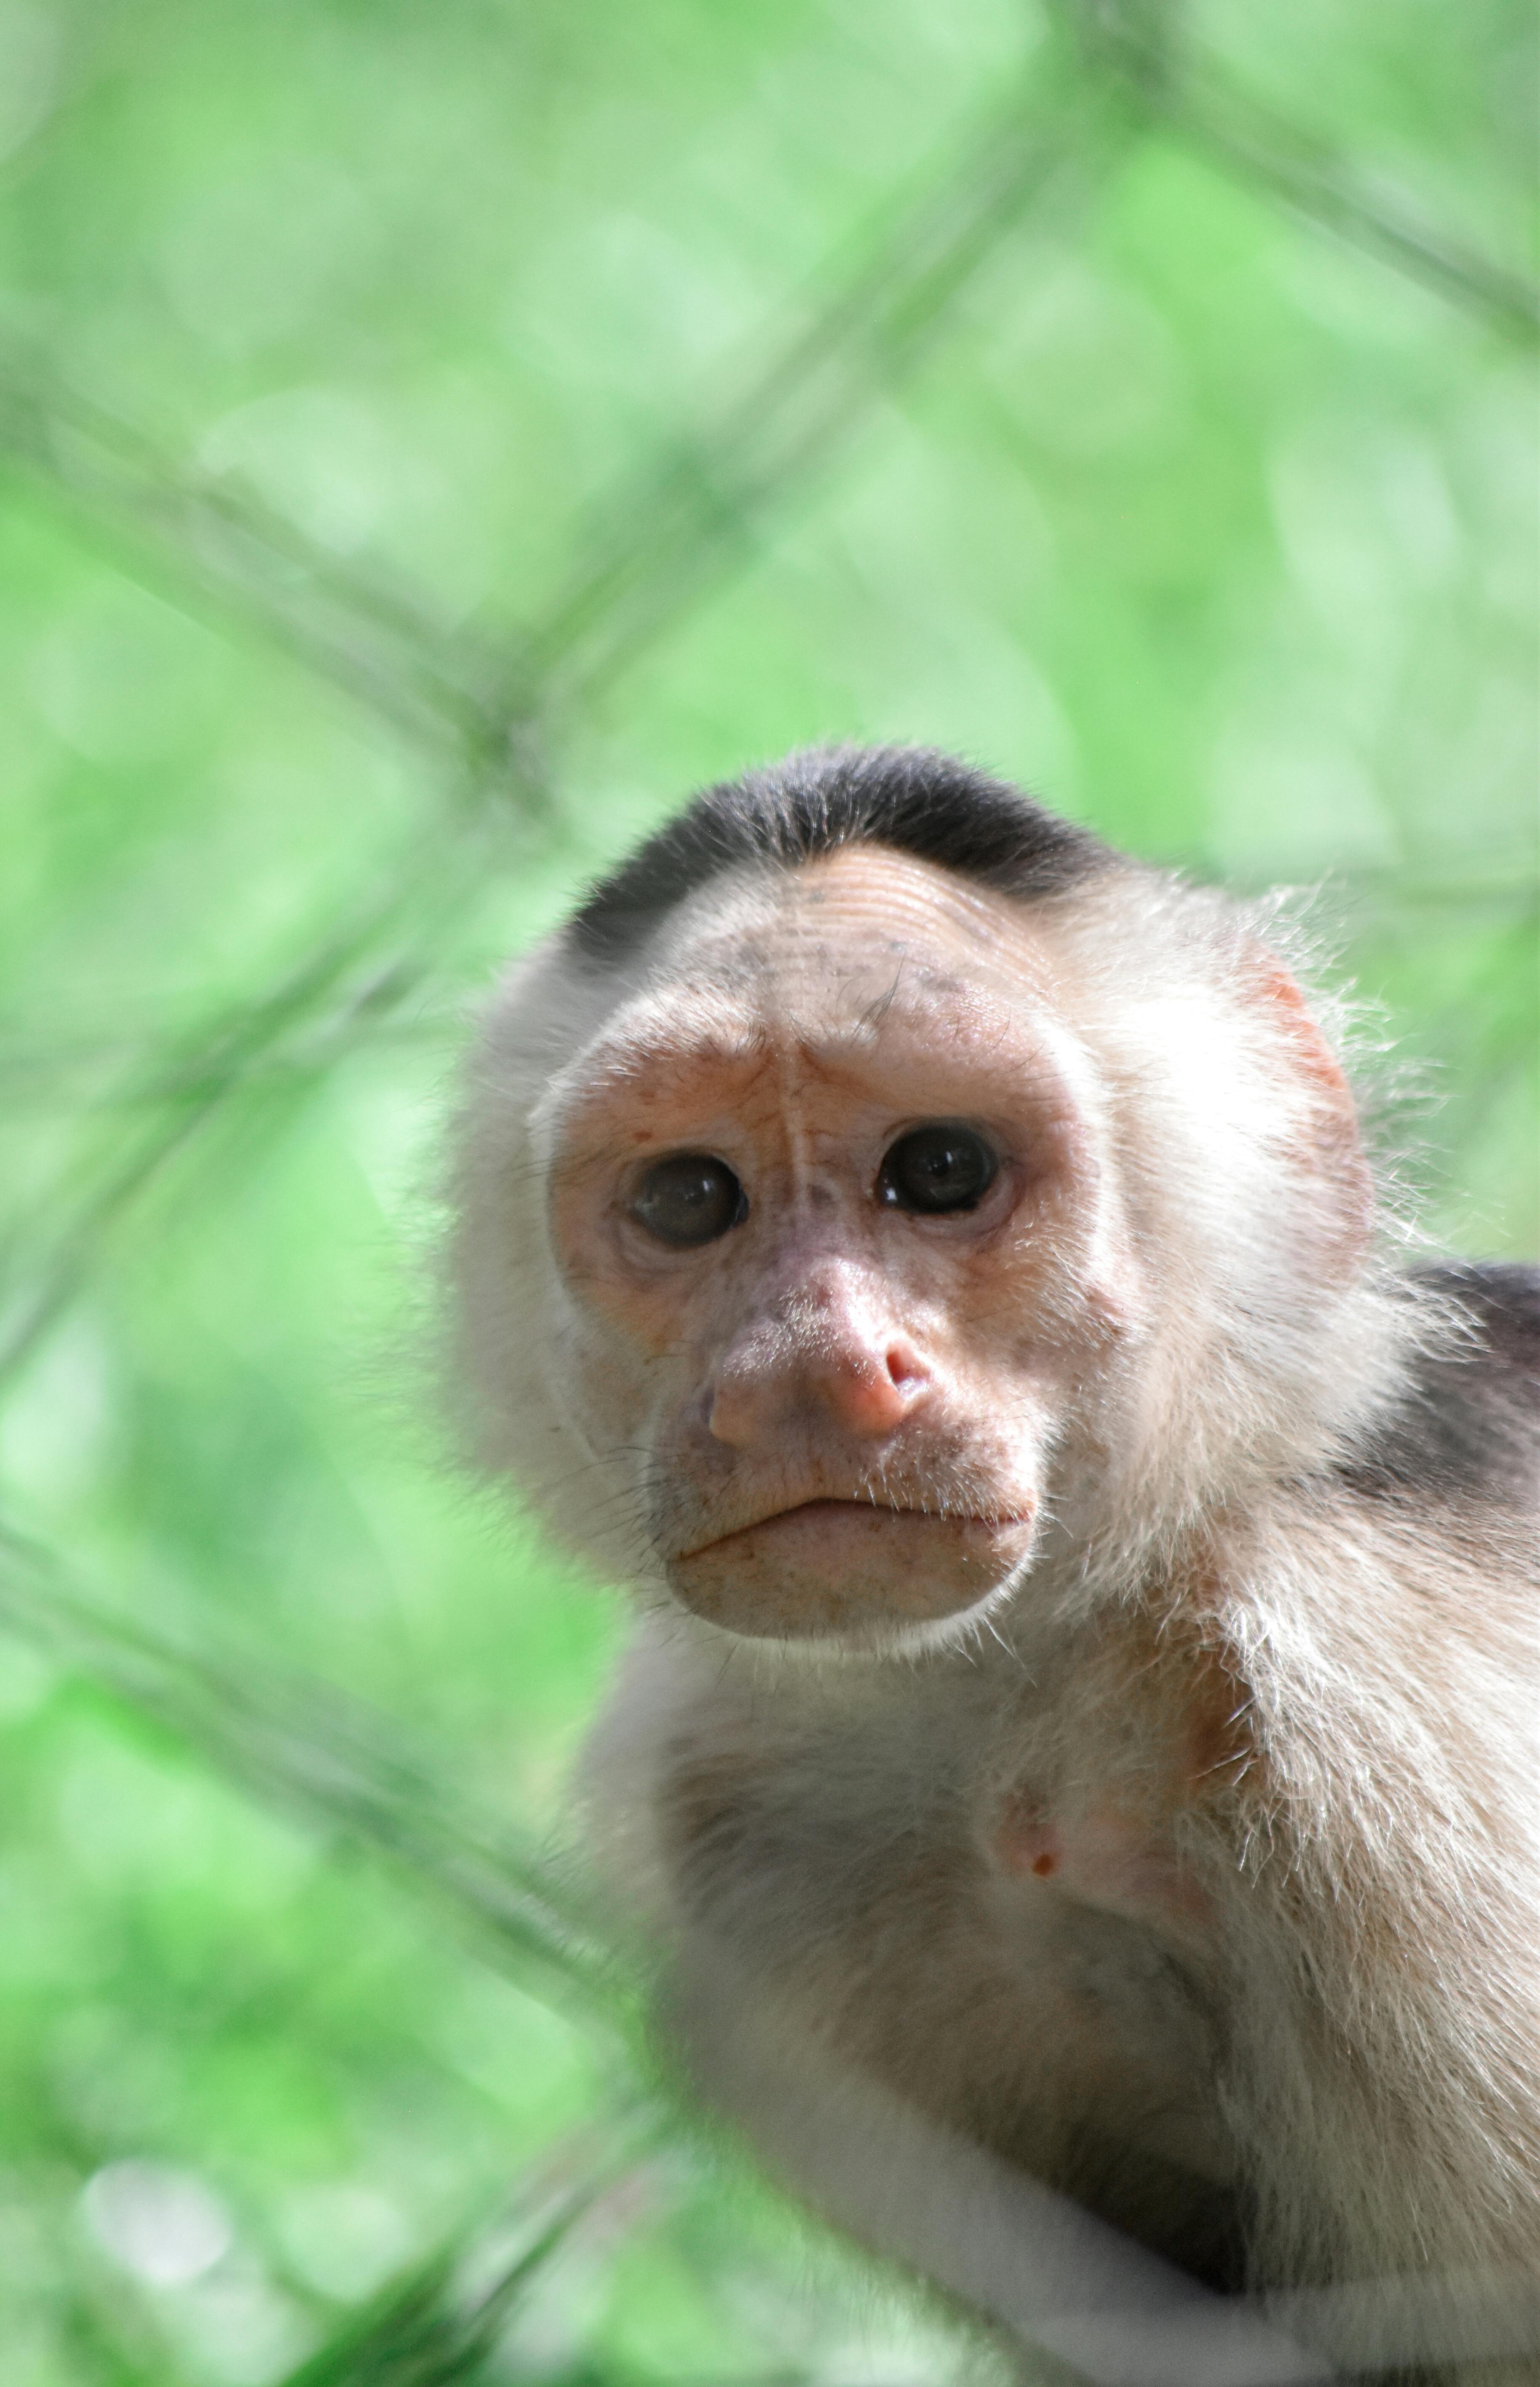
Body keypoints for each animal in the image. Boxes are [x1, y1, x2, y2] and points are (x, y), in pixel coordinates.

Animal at [446, 746, 1539, 2382]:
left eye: (941, 1169)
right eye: (690, 1198)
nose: (813, 1370)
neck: (1053, 1678)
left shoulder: (1390, 1713)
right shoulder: (736, 1834)